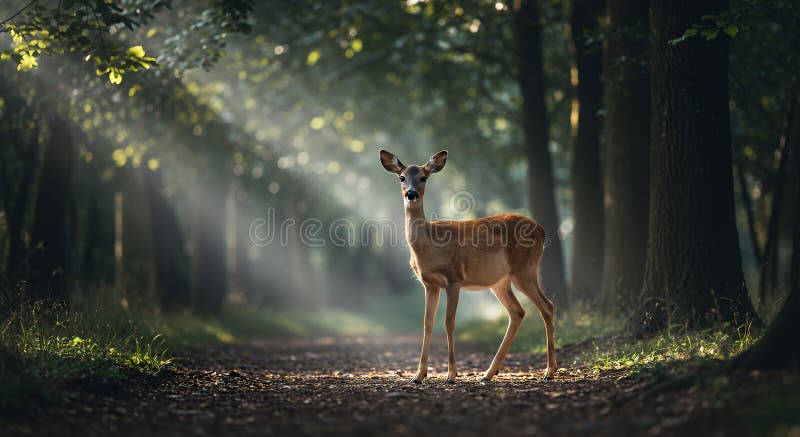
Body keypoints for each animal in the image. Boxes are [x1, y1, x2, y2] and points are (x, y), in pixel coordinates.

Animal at [379, 149, 557, 384]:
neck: (429, 244)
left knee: (547, 306)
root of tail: (541, 230)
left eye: (423, 177)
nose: (411, 194)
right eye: (402, 177)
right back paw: (488, 374)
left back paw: (549, 371)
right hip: (500, 281)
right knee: (518, 311)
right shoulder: (430, 284)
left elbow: (449, 322)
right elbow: (427, 324)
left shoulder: (454, 278)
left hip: (524, 269)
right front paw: (418, 376)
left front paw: (451, 375)